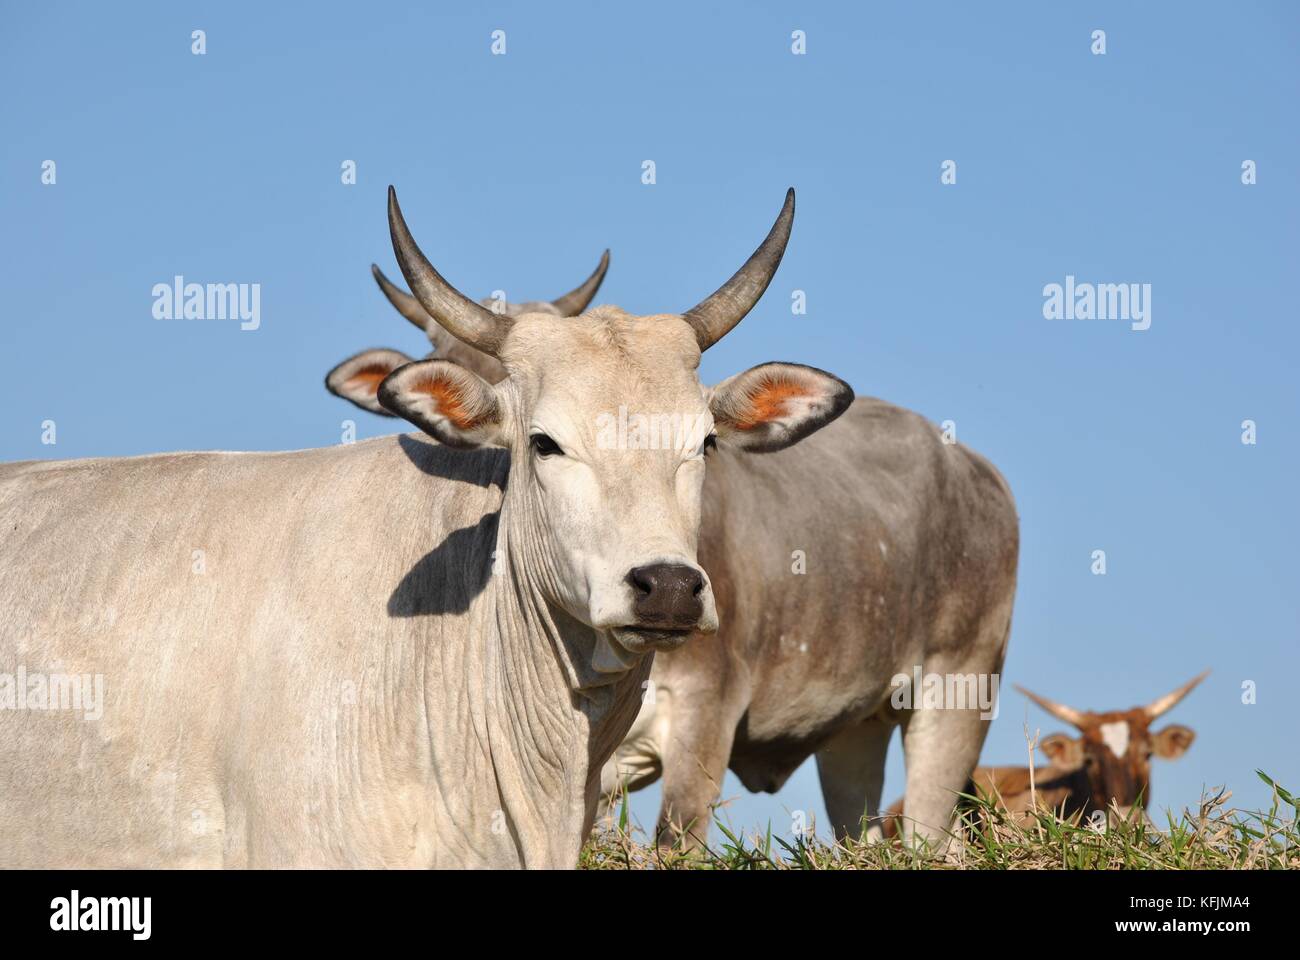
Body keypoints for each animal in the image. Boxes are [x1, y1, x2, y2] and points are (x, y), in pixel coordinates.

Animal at [327, 233, 1020, 853]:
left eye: (705, 440)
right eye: (541, 438)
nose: (667, 587)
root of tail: (969, 464)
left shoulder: (705, 719)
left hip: (956, 690)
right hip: (857, 732)